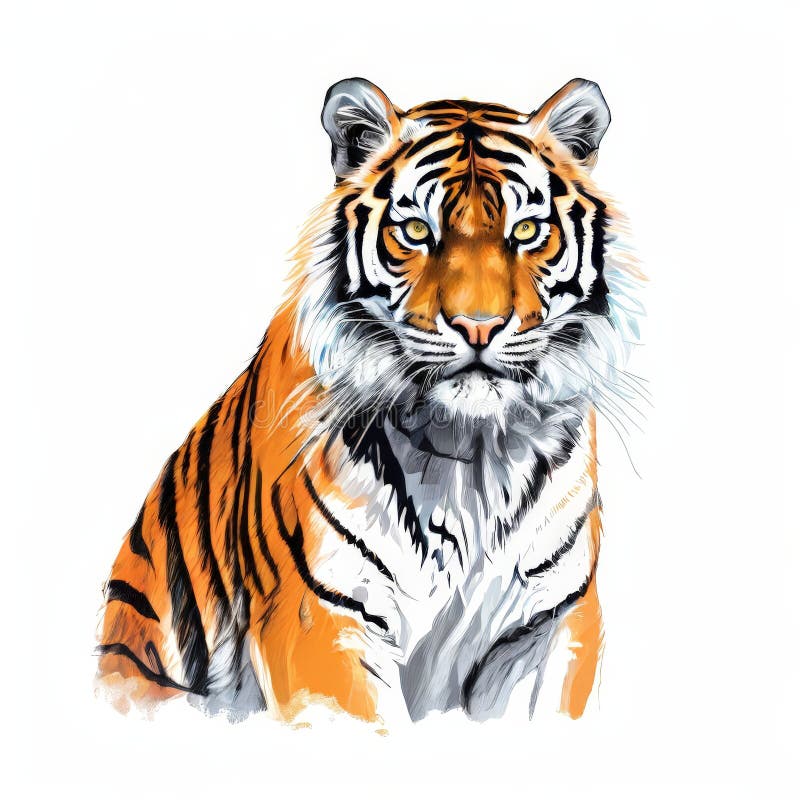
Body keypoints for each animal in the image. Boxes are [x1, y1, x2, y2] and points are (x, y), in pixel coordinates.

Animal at [96, 76, 643, 724]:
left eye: (527, 232)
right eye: (416, 232)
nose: (479, 326)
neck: (472, 453)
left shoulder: (549, 623)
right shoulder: (322, 619)